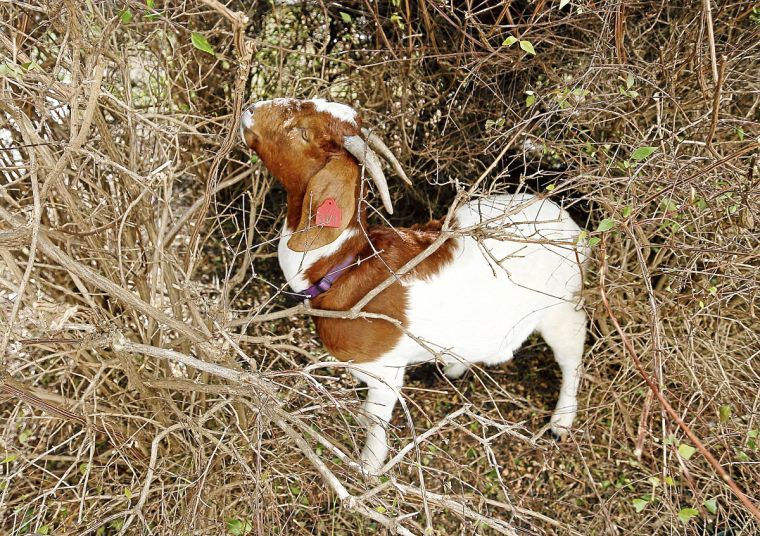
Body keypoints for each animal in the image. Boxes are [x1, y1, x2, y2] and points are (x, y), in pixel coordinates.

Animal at [239, 98, 588, 473]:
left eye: (302, 132)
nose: (249, 109)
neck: (346, 264)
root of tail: (567, 220)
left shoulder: (386, 371)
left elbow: (377, 417)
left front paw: (369, 465)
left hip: (564, 308)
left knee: (572, 360)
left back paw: (561, 422)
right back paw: (455, 365)